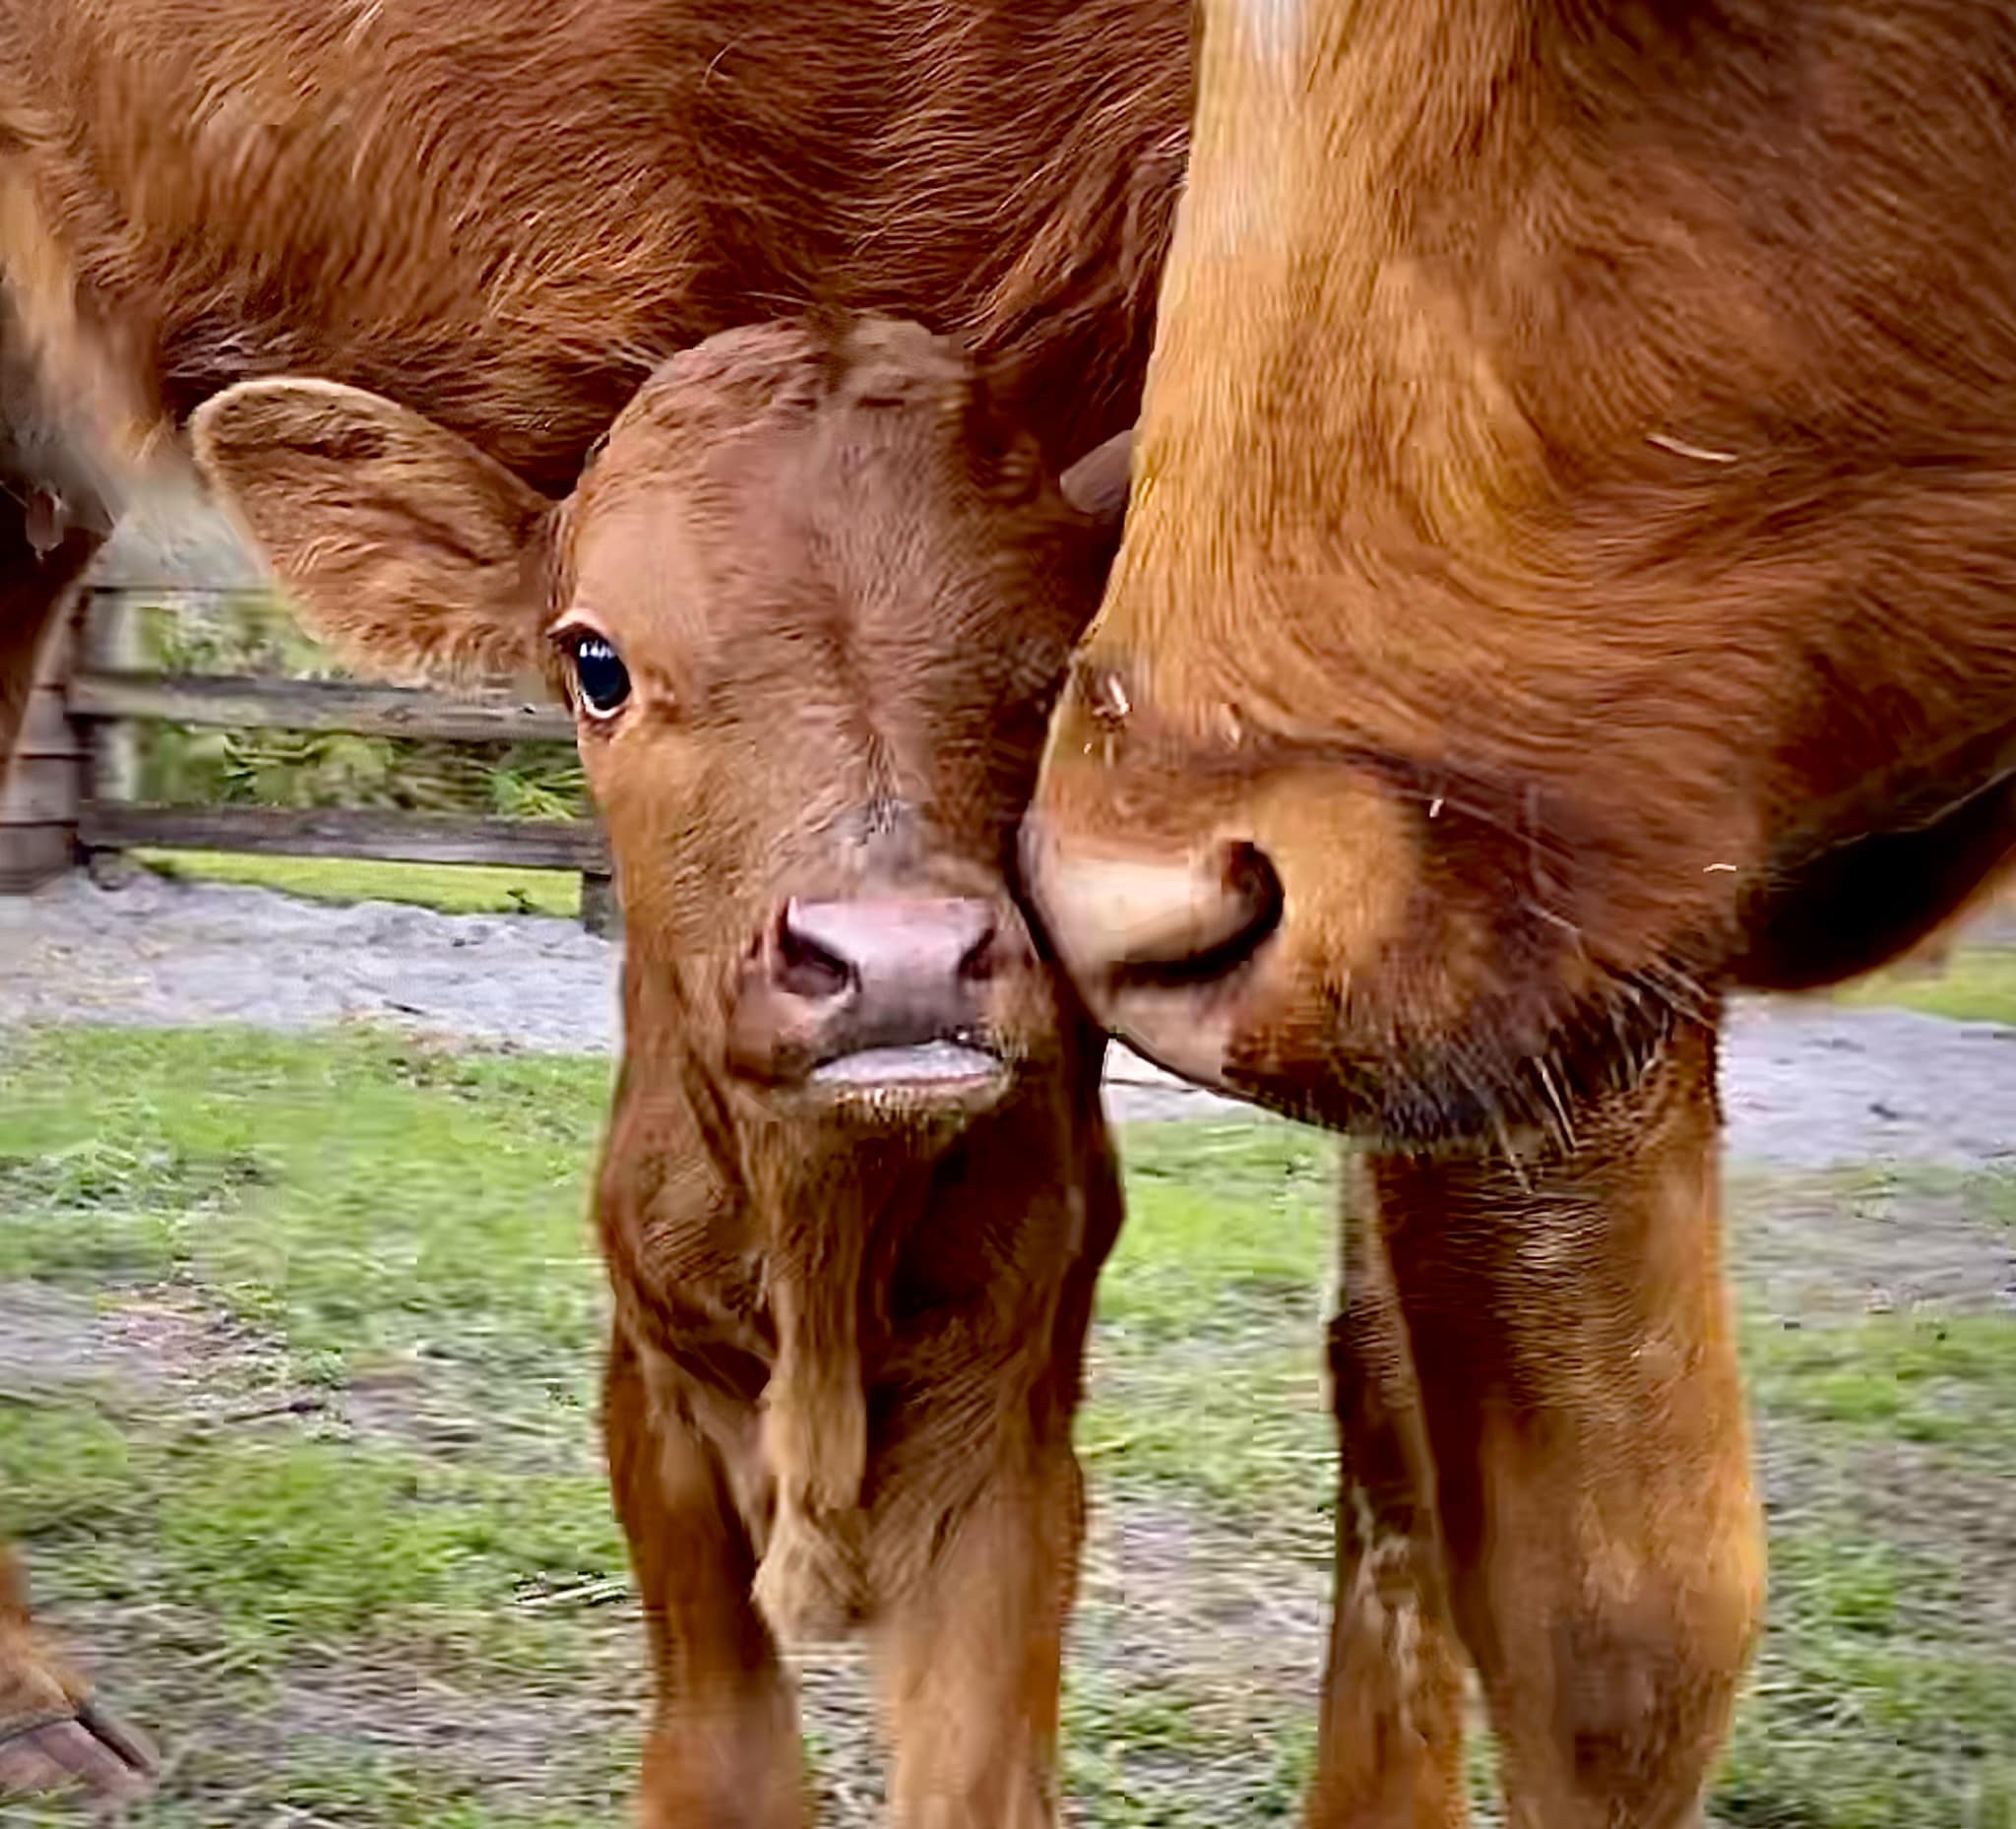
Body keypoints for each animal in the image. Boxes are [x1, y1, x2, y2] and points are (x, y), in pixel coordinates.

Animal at [184, 316, 1130, 1828]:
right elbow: (722, 1766)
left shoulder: (1011, 1446)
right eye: (596, 662)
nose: (901, 959)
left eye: (1057, 671)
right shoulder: (654, 1405)